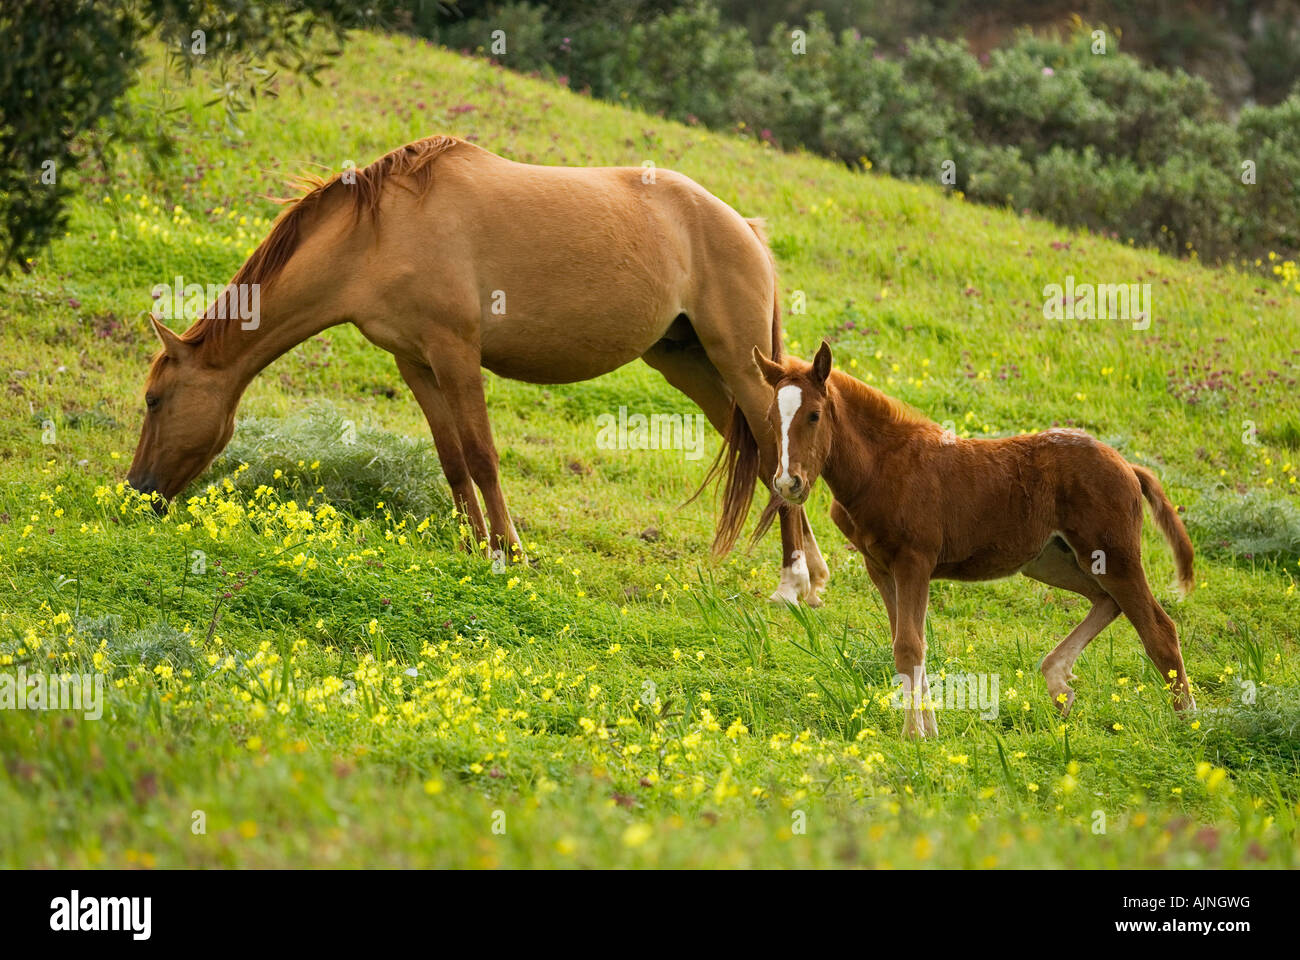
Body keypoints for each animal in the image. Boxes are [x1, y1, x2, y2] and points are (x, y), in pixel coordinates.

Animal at [127, 135, 829, 604]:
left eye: (155, 399)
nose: (136, 491)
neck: (379, 234)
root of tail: (744, 227)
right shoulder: (416, 363)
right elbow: (452, 457)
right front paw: (470, 546)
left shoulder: (457, 354)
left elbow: (484, 455)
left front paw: (508, 552)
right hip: (693, 367)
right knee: (768, 453)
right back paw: (816, 574)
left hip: (735, 363)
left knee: (775, 451)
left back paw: (795, 580)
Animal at [754, 341, 1196, 738]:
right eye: (771, 420)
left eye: (814, 415)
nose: (788, 483)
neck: (881, 467)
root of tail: (1128, 466)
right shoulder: (879, 565)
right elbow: (907, 643)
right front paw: (930, 731)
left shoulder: (914, 562)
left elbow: (909, 646)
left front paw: (912, 736)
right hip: (1052, 561)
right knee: (1107, 601)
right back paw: (1058, 680)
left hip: (1111, 555)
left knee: (1158, 627)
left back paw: (1190, 726)